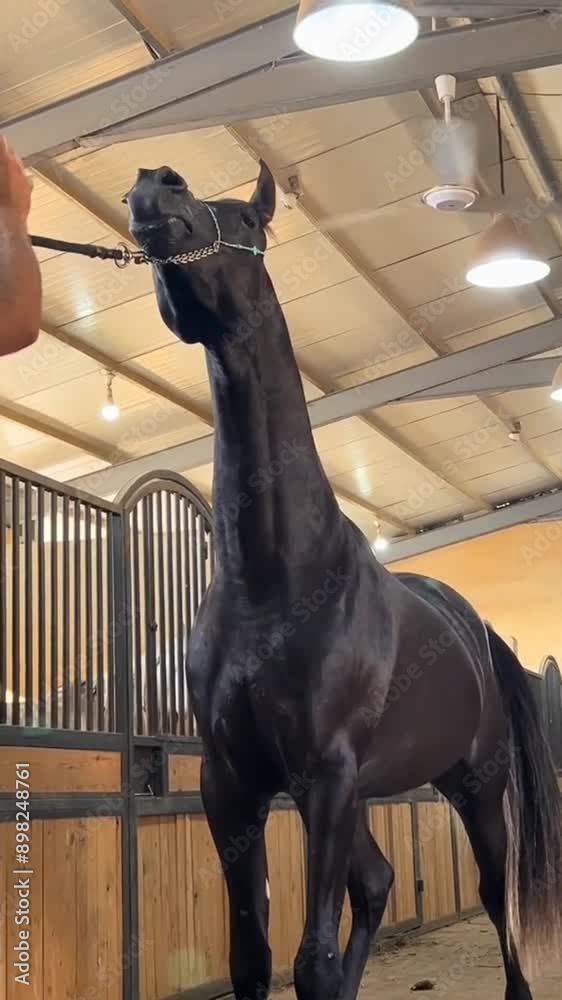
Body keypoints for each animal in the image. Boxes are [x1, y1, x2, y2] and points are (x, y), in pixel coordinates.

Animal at [124, 160, 562, 1000]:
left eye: (249, 222)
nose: (155, 185)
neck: (274, 580)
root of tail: (478, 631)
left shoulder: (324, 775)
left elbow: (312, 962)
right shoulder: (235, 784)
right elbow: (254, 956)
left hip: (474, 784)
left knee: (496, 896)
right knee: (380, 882)